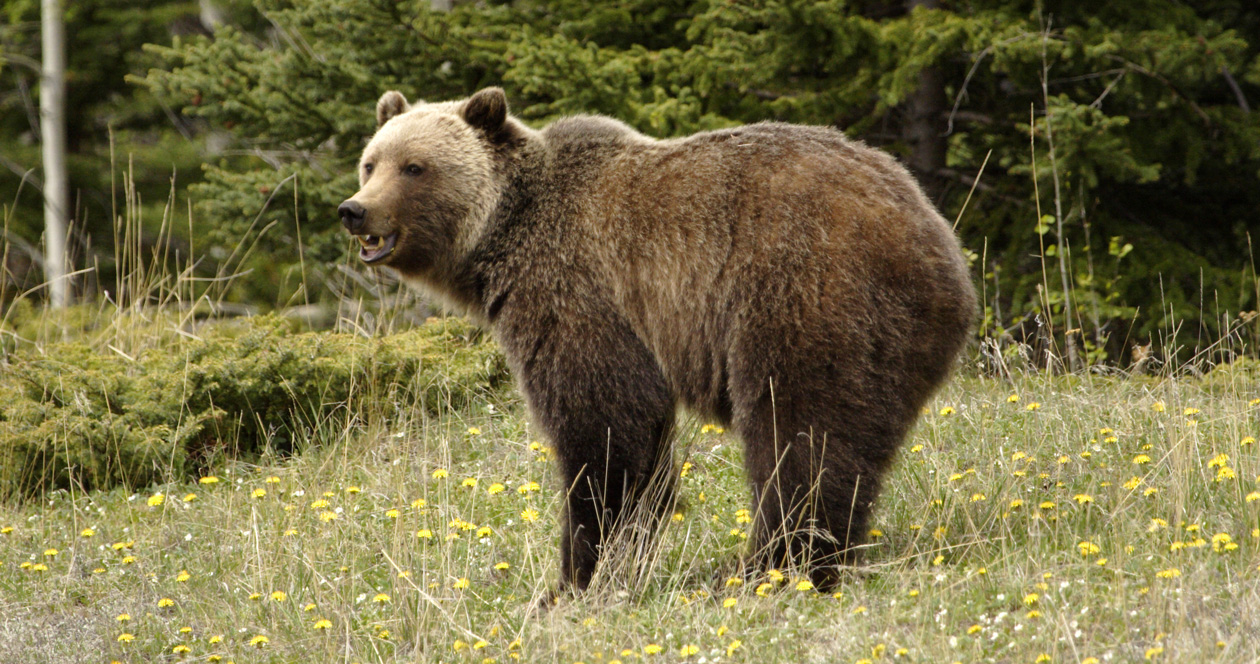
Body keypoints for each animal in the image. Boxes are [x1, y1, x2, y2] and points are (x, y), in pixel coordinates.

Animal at [338, 87, 976, 599]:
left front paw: (573, 579)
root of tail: (937, 241)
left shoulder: (579, 292)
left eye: (415, 167)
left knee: (802, 437)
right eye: (370, 162)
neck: (501, 240)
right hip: (888, 336)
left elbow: (605, 430)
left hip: (805, 296)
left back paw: (771, 568)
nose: (354, 210)